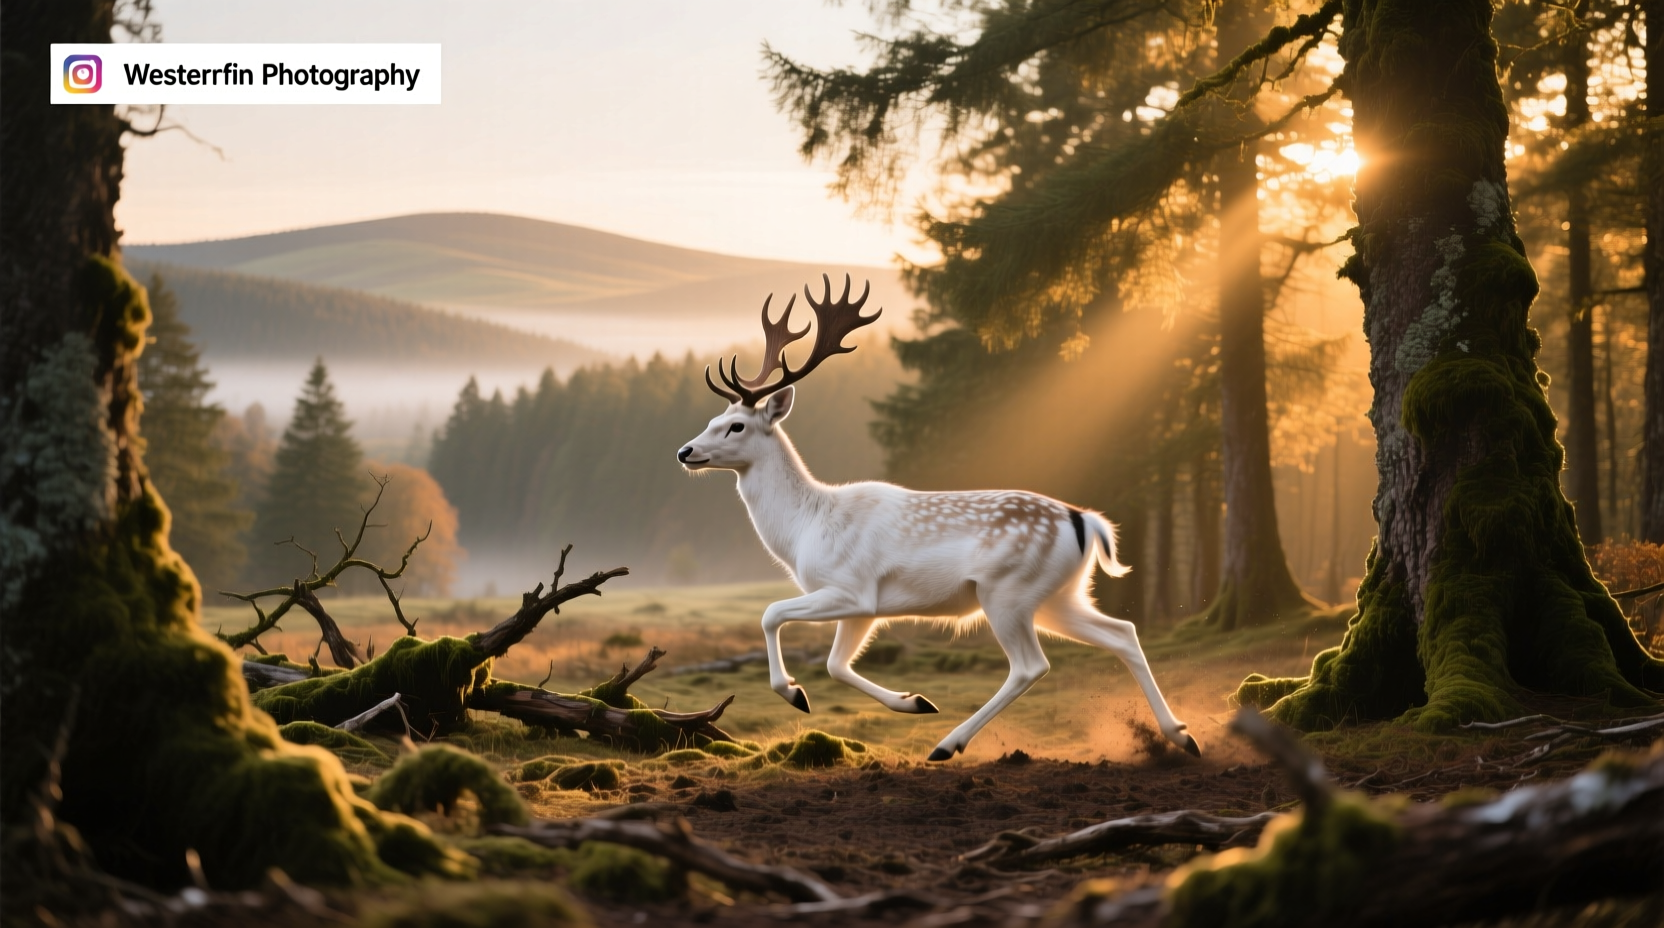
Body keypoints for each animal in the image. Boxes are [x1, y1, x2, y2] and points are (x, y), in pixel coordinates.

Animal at [676, 275, 1200, 762]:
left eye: (736, 425)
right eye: (711, 419)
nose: (685, 451)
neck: (804, 529)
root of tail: (1086, 521)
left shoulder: (851, 587)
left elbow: (771, 614)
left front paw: (793, 692)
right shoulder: (864, 606)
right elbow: (835, 665)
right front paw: (913, 700)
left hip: (1007, 591)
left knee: (1031, 665)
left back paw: (948, 744)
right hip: (1059, 594)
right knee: (1123, 633)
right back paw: (1181, 737)